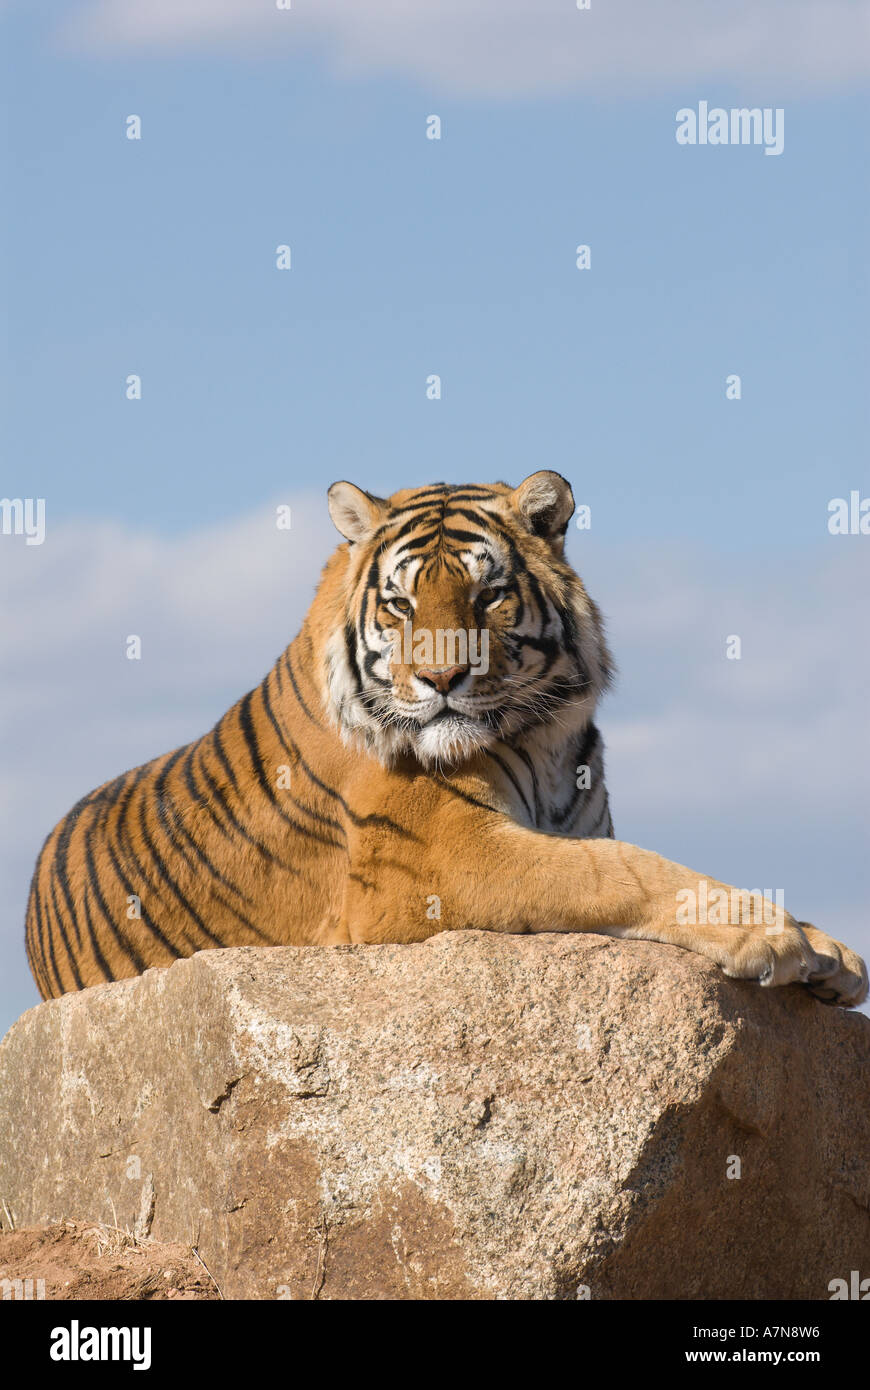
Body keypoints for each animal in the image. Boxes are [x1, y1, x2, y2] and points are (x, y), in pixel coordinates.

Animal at [25, 471, 868, 1008]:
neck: (549, 738)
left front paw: (832, 952)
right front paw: (775, 938)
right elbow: (619, 868)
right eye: (400, 603)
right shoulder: (440, 855)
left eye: (489, 594)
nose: (440, 679)